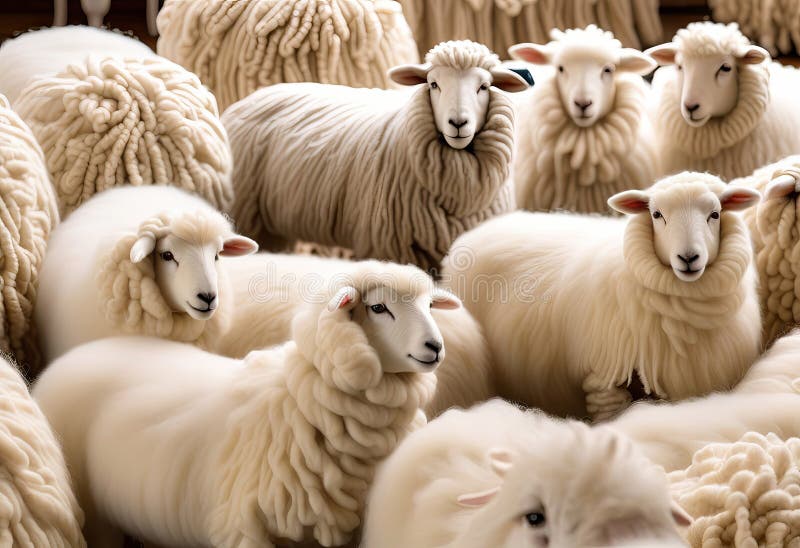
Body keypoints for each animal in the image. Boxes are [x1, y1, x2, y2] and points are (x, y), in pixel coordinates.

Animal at [32, 262, 461, 547]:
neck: (300, 403)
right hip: (91, 508)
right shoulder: (244, 526)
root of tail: (58, 366)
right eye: (378, 308)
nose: (435, 347)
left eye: (429, 305)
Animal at [222, 40, 529, 273]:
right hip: (246, 214)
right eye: (433, 84)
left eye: (484, 87)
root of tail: (250, 98)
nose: (458, 123)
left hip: (272, 227)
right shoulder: (388, 246)